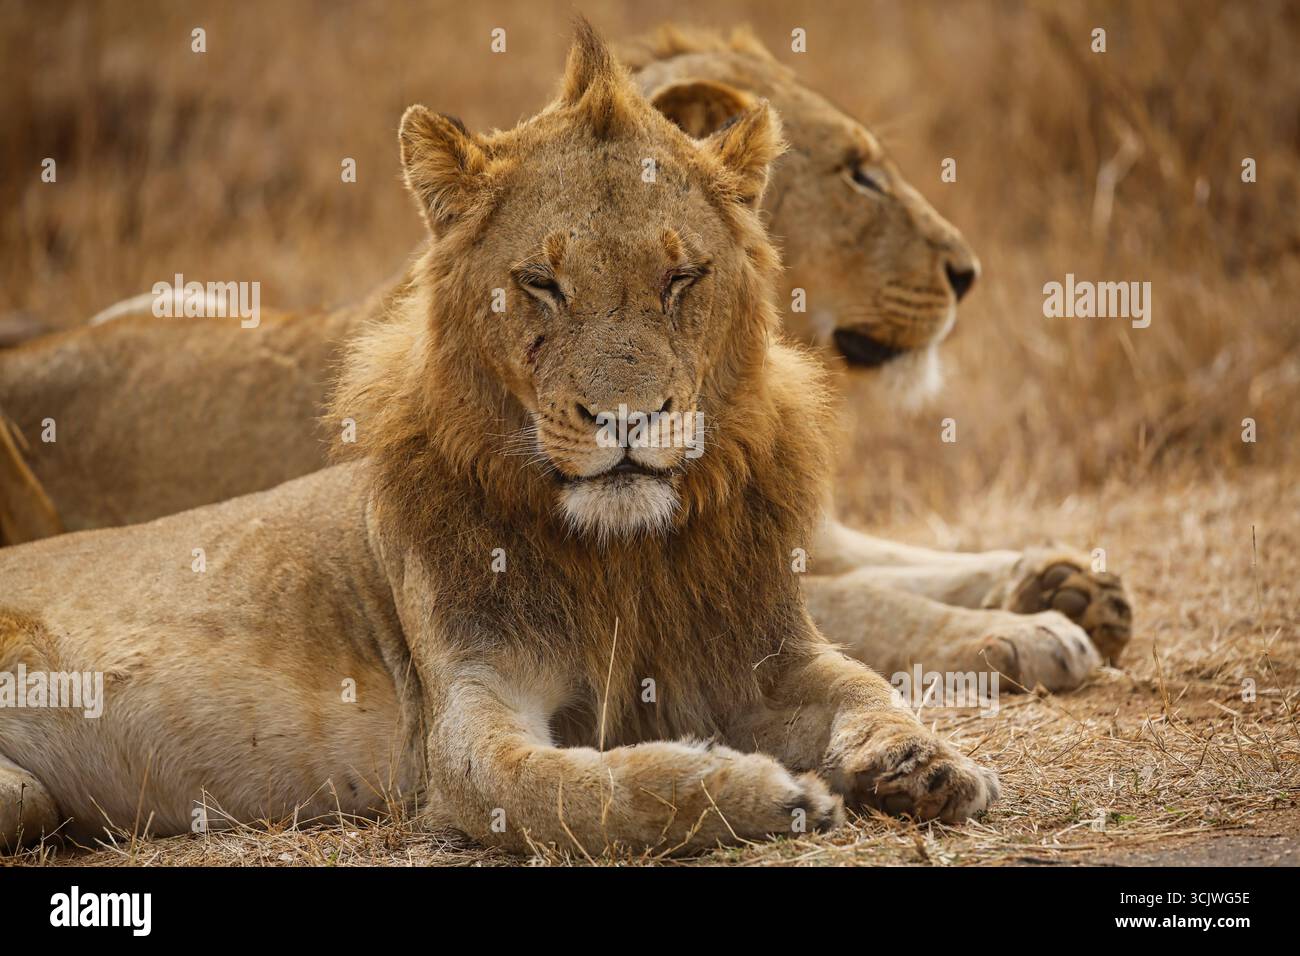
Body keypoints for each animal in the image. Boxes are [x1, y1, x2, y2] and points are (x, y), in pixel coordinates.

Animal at [0, 25, 998, 852]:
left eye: (681, 278)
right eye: (540, 284)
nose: (628, 417)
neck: (624, 561)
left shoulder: (775, 650)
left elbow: (871, 684)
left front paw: (926, 764)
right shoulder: (466, 718)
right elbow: (573, 796)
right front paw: (760, 790)